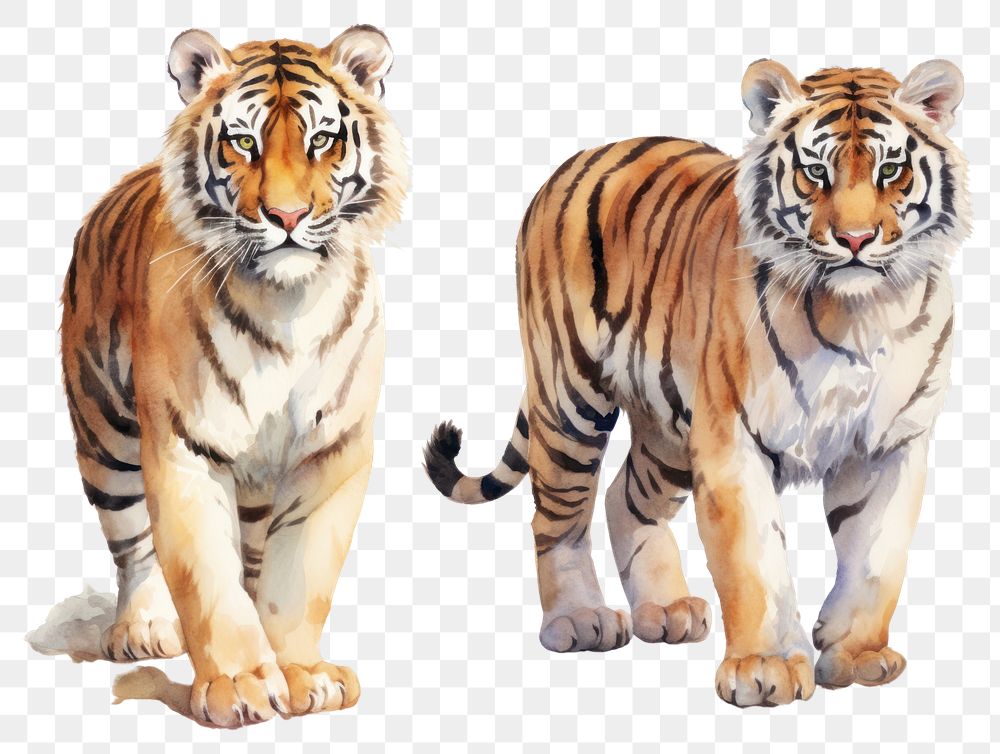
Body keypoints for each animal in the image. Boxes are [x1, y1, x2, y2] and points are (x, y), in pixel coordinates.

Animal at [60, 26, 406, 726]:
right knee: (132, 542)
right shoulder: (185, 447)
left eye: (321, 139)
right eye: (243, 141)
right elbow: (205, 579)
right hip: (105, 436)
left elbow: (297, 580)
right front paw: (241, 685)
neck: (287, 303)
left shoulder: (332, 451)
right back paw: (143, 627)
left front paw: (302, 674)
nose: (288, 216)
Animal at [424, 59, 969, 707]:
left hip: (668, 428)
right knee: (557, 517)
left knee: (624, 497)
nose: (857, 240)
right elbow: (753, 562)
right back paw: (579, 620)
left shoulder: (890, 446)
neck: (861, 312)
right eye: (815, 171)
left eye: (891, 169)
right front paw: (764, 669)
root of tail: (581, 157)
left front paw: (857, 656)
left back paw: (665, 610)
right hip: (569, 398)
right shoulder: (733, 438)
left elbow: (876, 559)